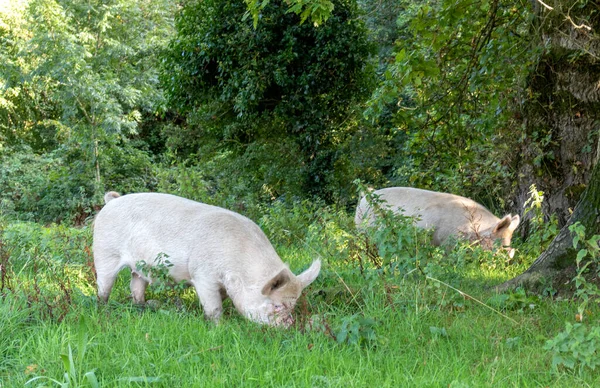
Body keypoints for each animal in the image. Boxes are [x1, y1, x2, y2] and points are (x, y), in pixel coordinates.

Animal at [94, 192, 322, 326]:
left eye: (293, 304)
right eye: (276, 306)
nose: (289, 324)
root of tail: (111, 201)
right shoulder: (202, 275)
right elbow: (213, 307)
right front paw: (218, 327)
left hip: (139, 268)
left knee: (136, 285)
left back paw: (141, 309)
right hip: (105, 253)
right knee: (104, 287)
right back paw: (102, 310)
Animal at [356, 187, 520, 255]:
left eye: (509, 241)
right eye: (499, 243)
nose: (510, 258)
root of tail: (364, 197)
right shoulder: (447, 240)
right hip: (365, 231)